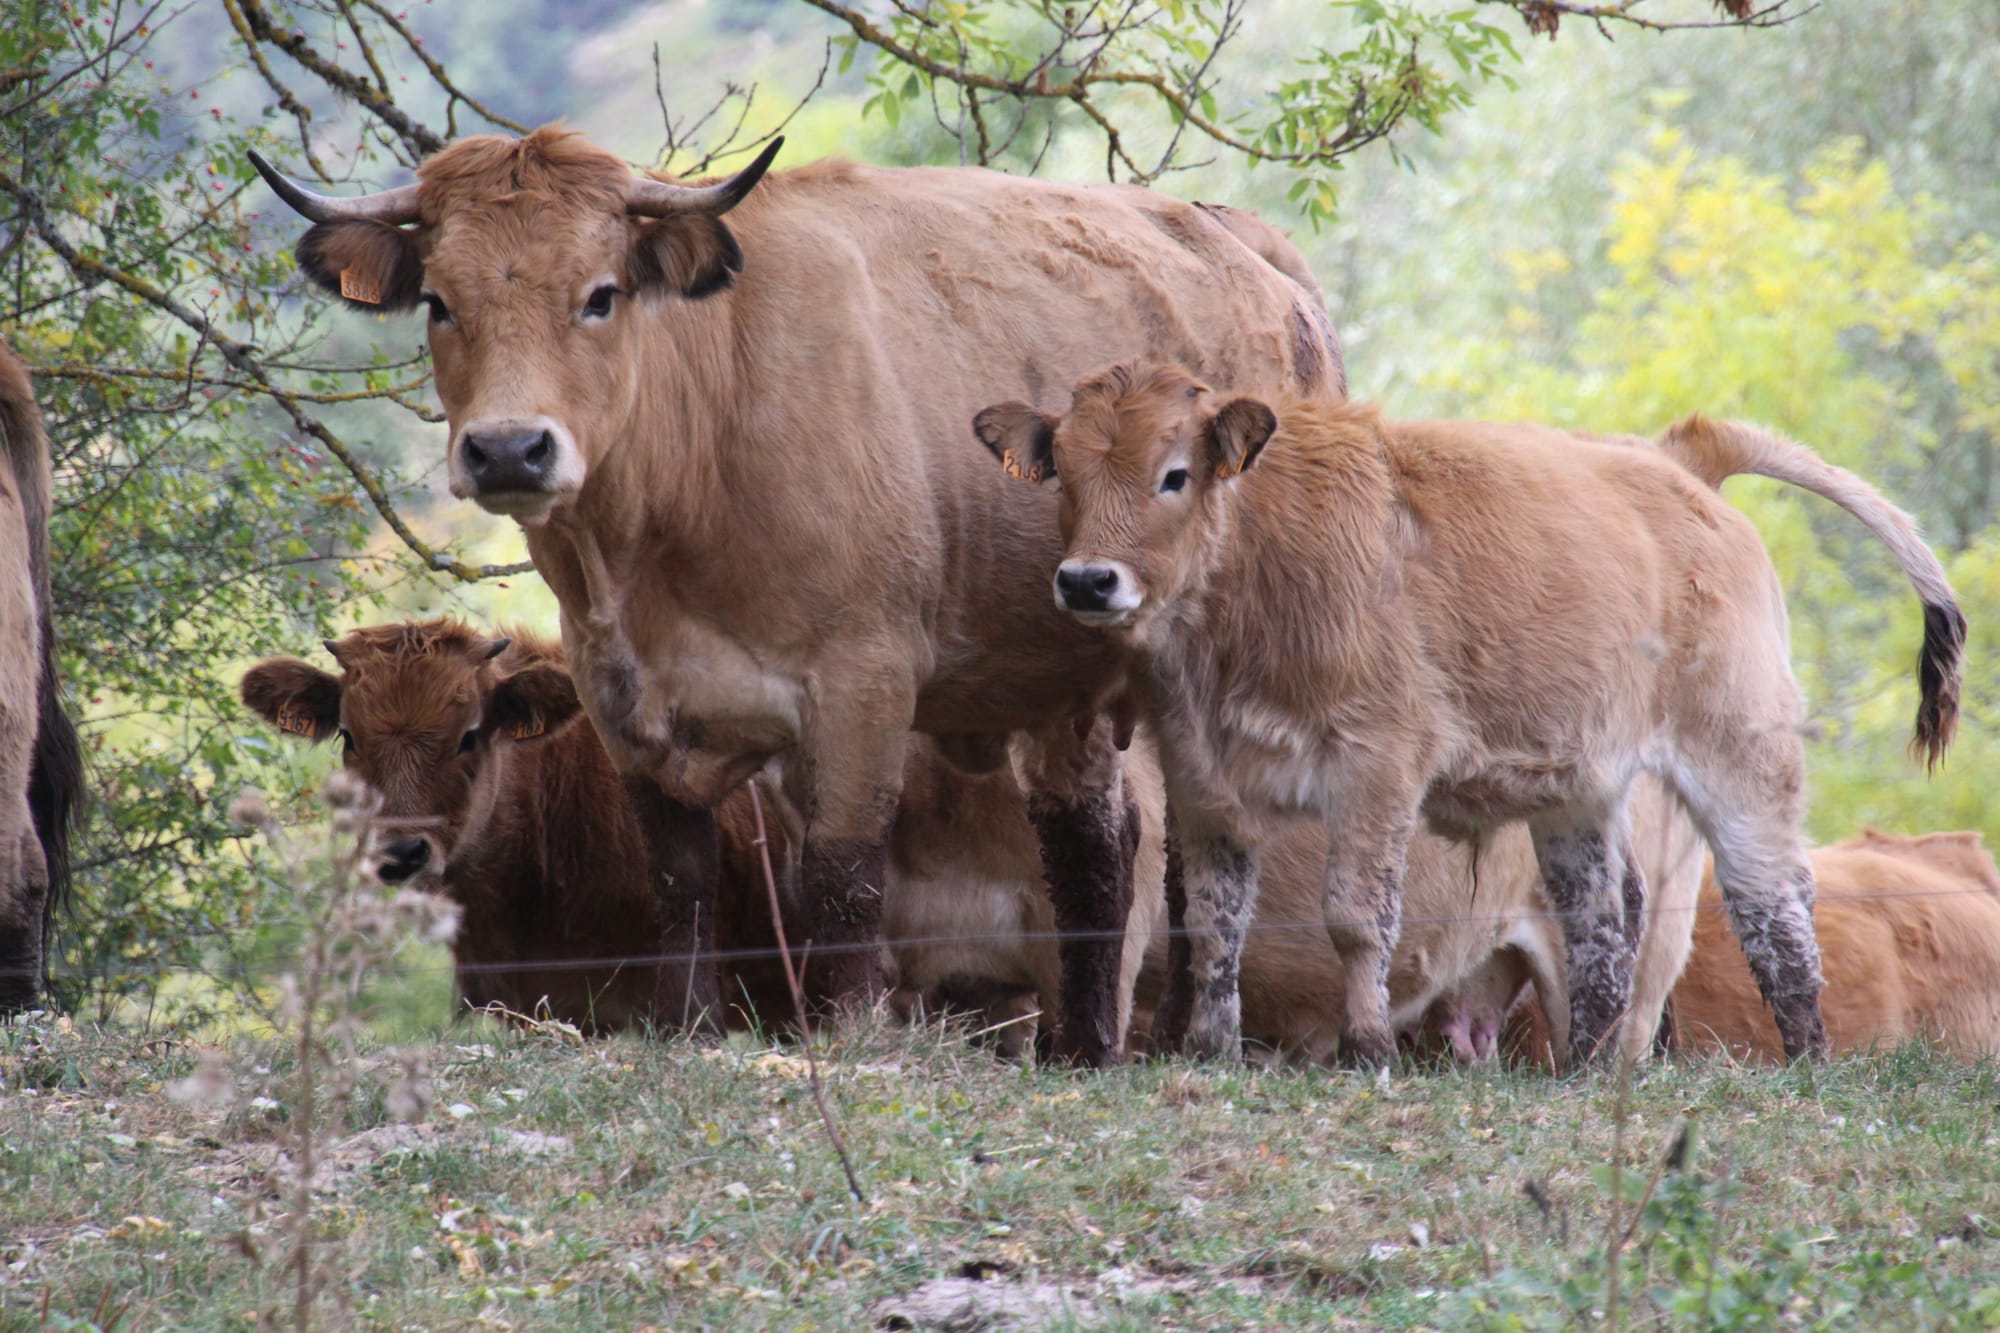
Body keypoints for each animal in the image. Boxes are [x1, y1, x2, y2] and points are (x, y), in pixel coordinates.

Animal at [251, 128, 1343, 1065]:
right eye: (439, 301)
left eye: (600, 294)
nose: (510, 448)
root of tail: (1252, 249)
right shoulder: (621, 700)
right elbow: (681, 875)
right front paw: (688, 1024)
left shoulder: (862, 681)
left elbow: (843, 874)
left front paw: (850, 1030)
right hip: (1064, 688)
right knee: (1096, 840)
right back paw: (1089, 1046)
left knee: (1199, 836)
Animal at [979, 362, 1963, 1067]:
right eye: (1062, 471)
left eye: (1173, 474)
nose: (1088, 580)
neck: (1259, 555)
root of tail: (1673, 463)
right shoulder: (1204, 779)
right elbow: (1216, 918)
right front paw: (1209, 1048)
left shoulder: (1376, 768)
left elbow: (1357, 914)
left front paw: (1366, 1047)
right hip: (1580, 790)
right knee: (1604, 916)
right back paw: (1585, 1066)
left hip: (1740, 755)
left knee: (1773, 899)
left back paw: (1807, 1056)